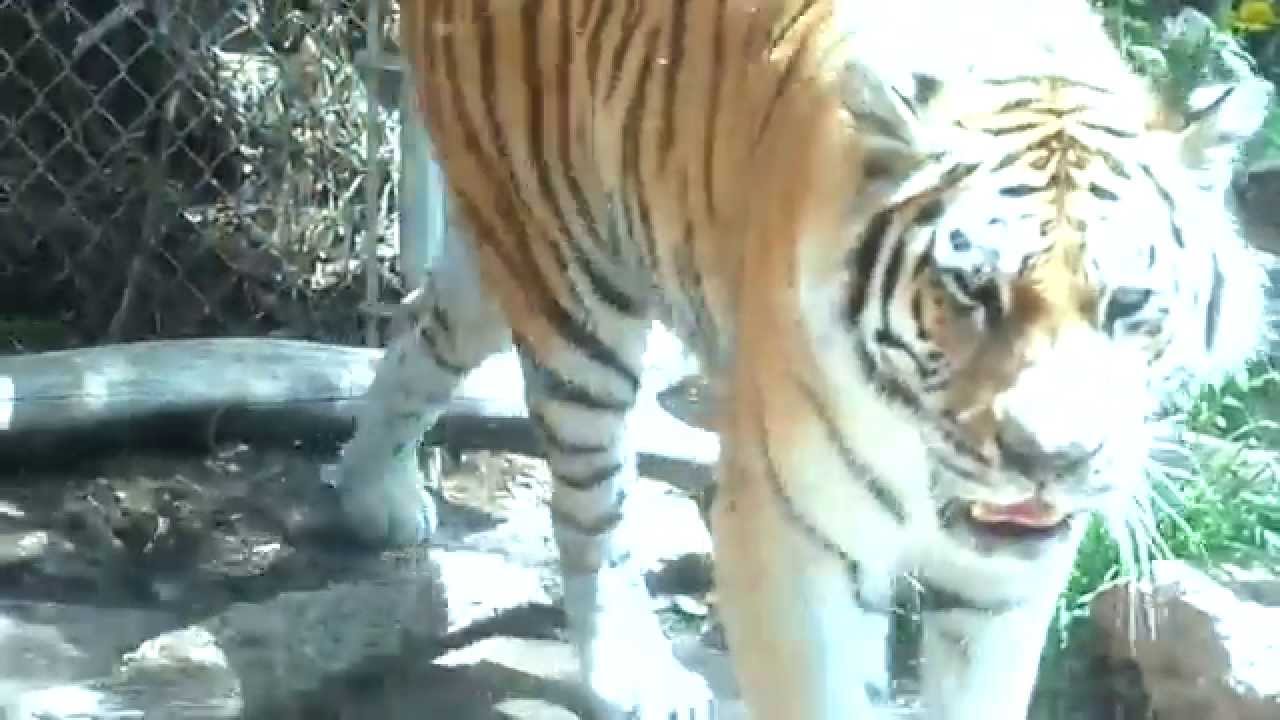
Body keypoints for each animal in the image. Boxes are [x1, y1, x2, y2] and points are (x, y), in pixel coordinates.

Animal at [331, 0, 1273, 718]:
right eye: (973, 290)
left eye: (1128, 305)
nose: (1050, 461)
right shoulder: (798, 540)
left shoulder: (1006, 582)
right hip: (572, 275)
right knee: (592, 501)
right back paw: (635, 674)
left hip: (509, 255)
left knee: (422, 328)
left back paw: (375, 494)